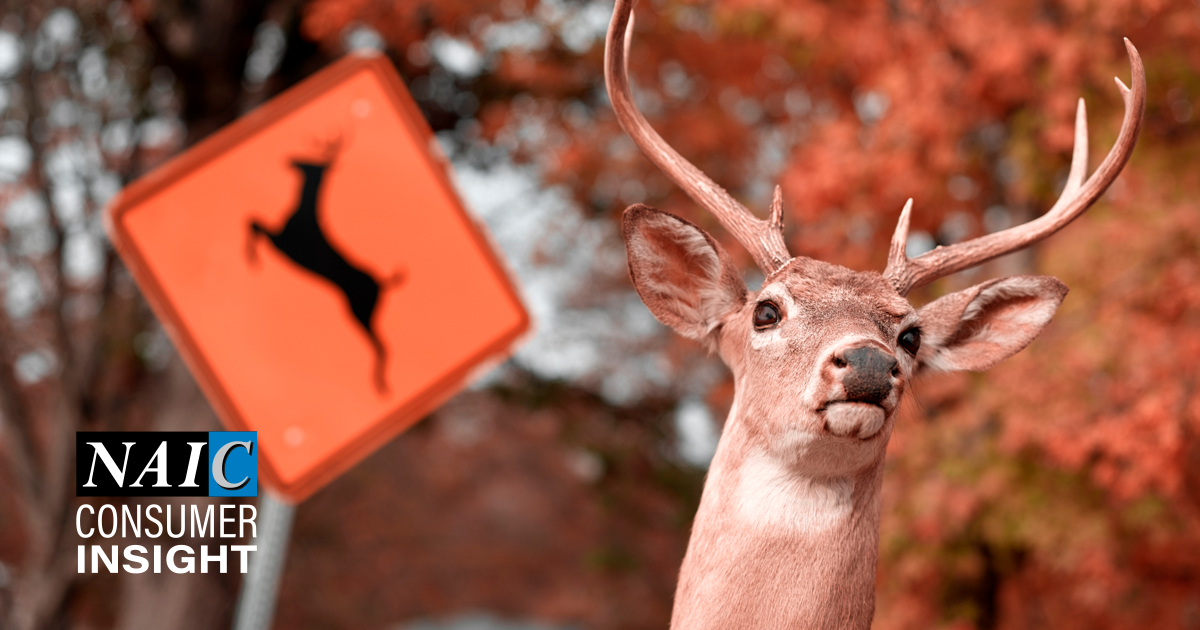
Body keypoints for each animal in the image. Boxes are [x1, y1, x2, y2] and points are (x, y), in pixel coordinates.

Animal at [247, 133, 405, 394]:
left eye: (311, 162)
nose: (288, 159)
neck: (302, 215)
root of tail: (384, 283)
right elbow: (253, 222)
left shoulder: (281, 244)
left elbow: (252, 223)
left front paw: (253, 262)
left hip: (361, 310)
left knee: (382, 345)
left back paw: (381, 386)